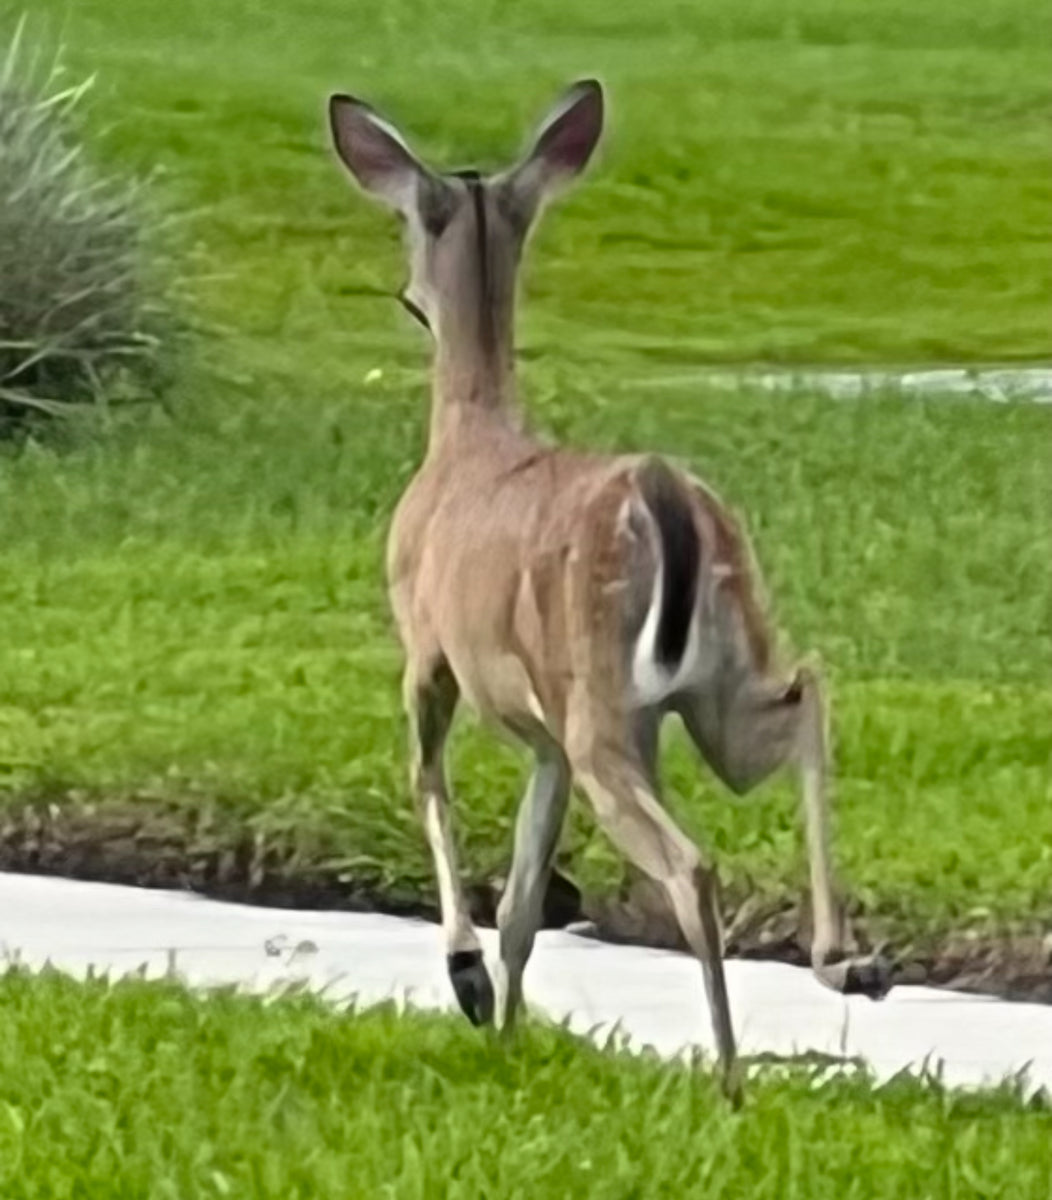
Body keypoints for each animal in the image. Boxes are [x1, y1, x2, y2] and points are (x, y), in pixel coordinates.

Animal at [327, 78, 893, 1103]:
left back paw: (731, 1076)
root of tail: (667, 496)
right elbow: (522, 898)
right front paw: (509, 1029)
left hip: (606, 706)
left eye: (409, 233)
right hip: (703, 689)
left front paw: (468, 984)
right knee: (805, 691)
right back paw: (850, 963)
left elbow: (429, 786)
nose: (408, 299)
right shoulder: (544, 735)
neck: (465, 433)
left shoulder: (427, 649)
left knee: (692, 863)